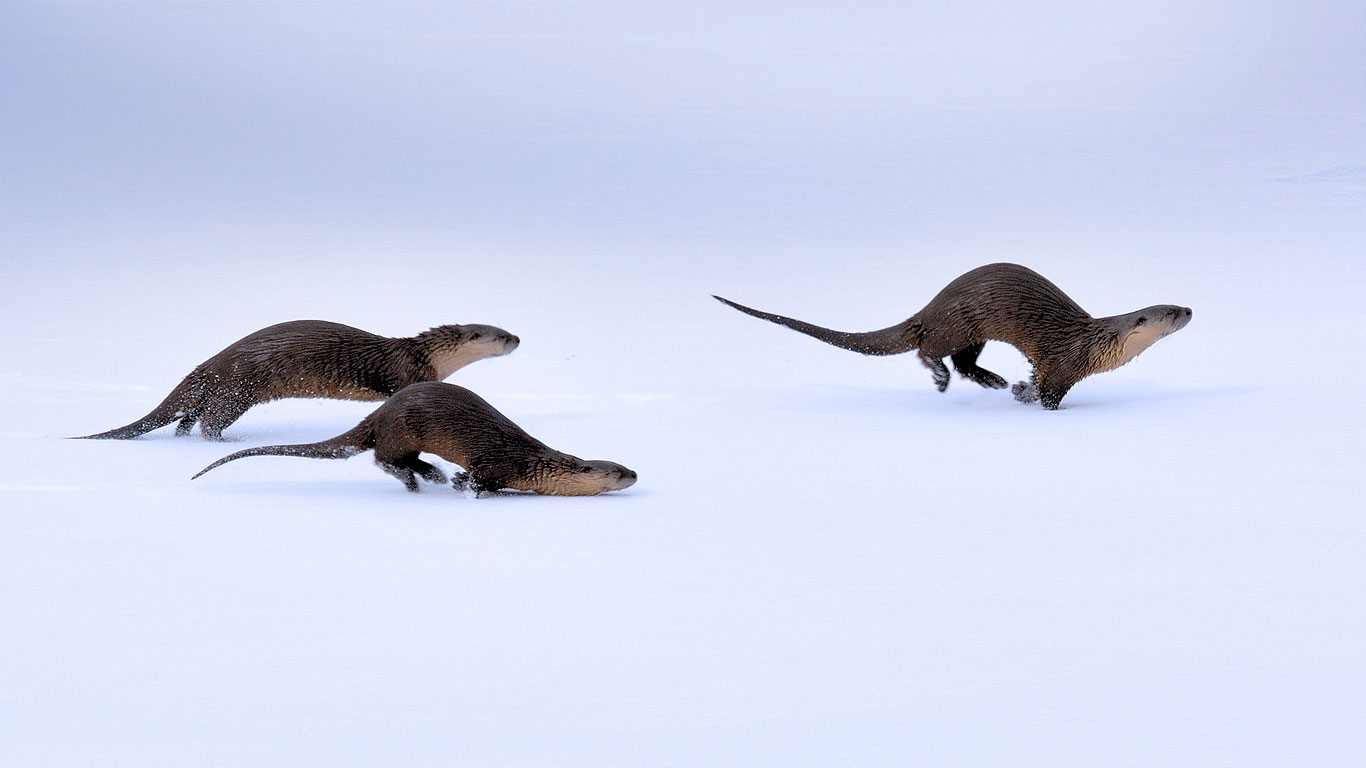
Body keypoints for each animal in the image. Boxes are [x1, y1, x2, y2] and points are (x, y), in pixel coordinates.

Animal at [77, 320, 520, 440]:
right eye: (500, 335)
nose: (518, 339)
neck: (426, 355)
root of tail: (210, 362)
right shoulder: (408, 374)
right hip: (237, 389)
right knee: (210, 421)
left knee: (188, 419)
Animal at [192, 382, 637, 496]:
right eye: (617, 471)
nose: (636, 474)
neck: (533, 464)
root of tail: (379, 413)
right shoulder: (499, 465)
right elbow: (482, 480)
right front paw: (462, 484)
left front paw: (454, 481)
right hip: (400, 429)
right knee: (384, 460)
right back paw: (423, 481)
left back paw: (431, 475)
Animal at [715, 263, 1191, 409]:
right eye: (1169, 313)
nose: (1190, 309)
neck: (1096, 345)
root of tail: (930, 306)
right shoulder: (1062, 367)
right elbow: (1047, 393)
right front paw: (1026, 397)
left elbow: (1034, 380)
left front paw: (1016, 389)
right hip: (956, 324)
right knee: (929, 350)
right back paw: (943, 380)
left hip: (970, 333)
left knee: (964, 362)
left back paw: (993, 380)